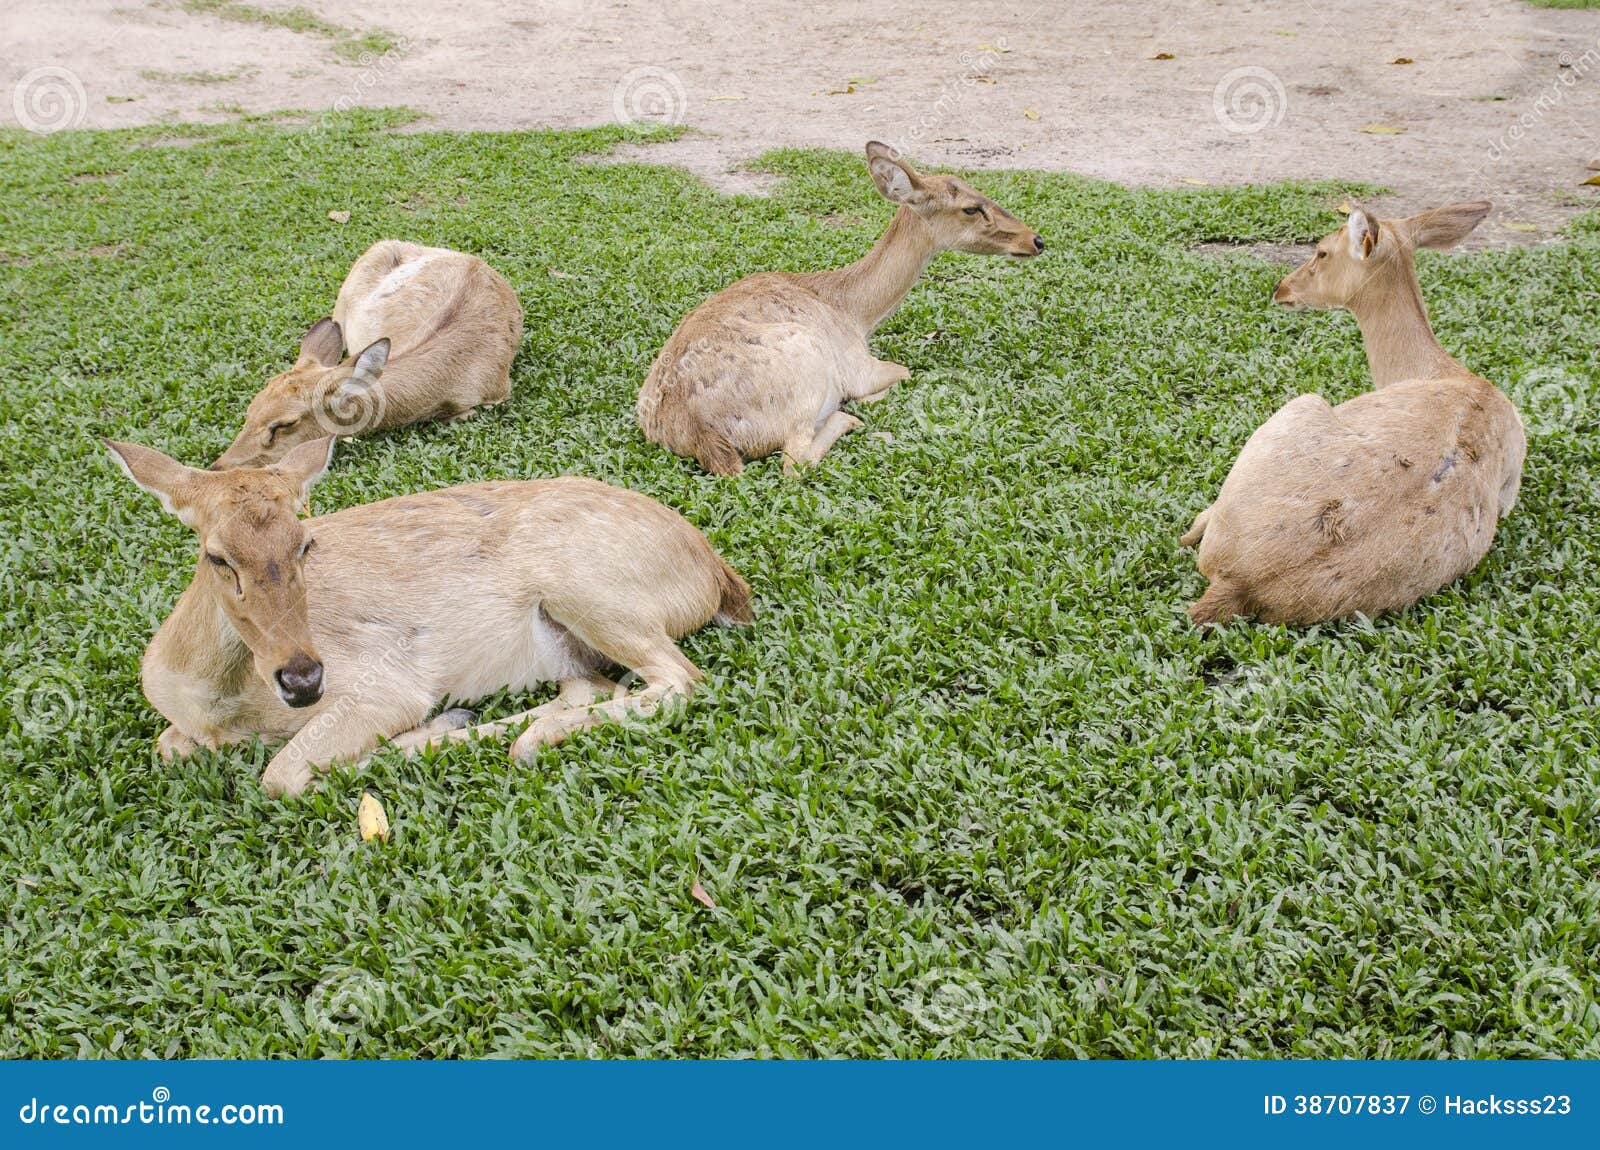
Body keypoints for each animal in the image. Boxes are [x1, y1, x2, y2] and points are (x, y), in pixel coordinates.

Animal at [103, 436, 752, 799]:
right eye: (217, 556)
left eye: (305, 542)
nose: (304, 678)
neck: (221, 703)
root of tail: (716, 575)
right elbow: (167, 746)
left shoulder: (382, 683)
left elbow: (282, 776)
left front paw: (434, 729)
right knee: (593, 684)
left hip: (591, 589)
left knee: (679, 680)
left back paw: (523, 737)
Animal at [636, 141, 1045, 476]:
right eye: (971, 208)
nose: (1036, 240)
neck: (853, 312)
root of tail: (700, 433)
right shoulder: (860, 367)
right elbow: (904, 371)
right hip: (804, 369)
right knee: (794, 461)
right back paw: (848, 419)